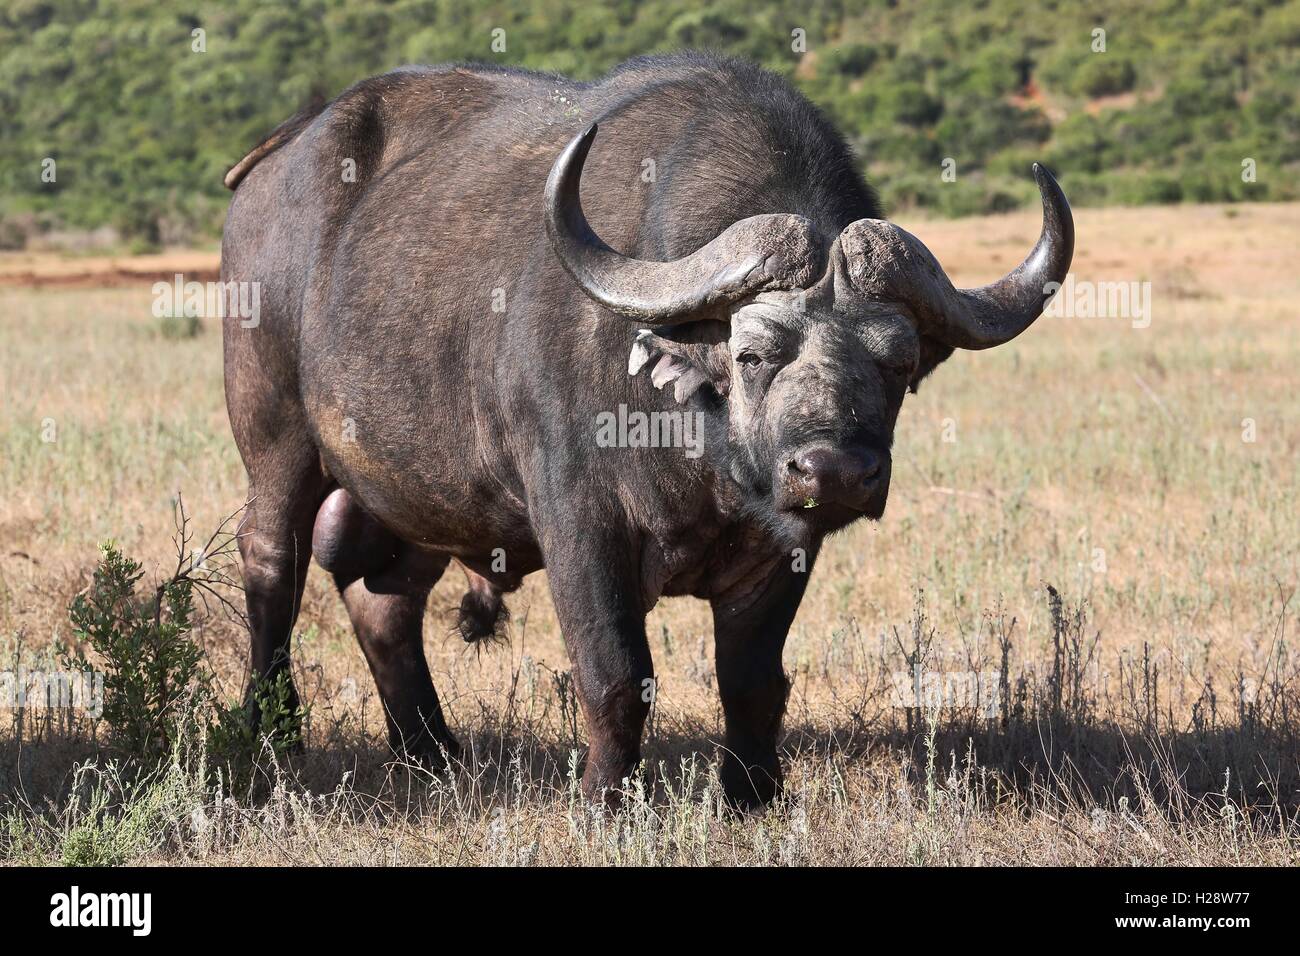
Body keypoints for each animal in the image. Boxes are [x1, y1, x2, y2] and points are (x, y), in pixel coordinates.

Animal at [221, 52, 1072, 809]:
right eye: (752, 352)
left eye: (896, 362)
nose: (831, 471)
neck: (696, 444)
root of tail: (282, 154)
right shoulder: (579, 526)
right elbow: (616, 674)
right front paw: (607, 800)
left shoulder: (785, 548)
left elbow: (753, 682)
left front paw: (753, 794)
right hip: (275, 436)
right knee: (272, 564)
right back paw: (271, 734)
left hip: (419, 495)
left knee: (384, 602)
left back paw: (432, 752)